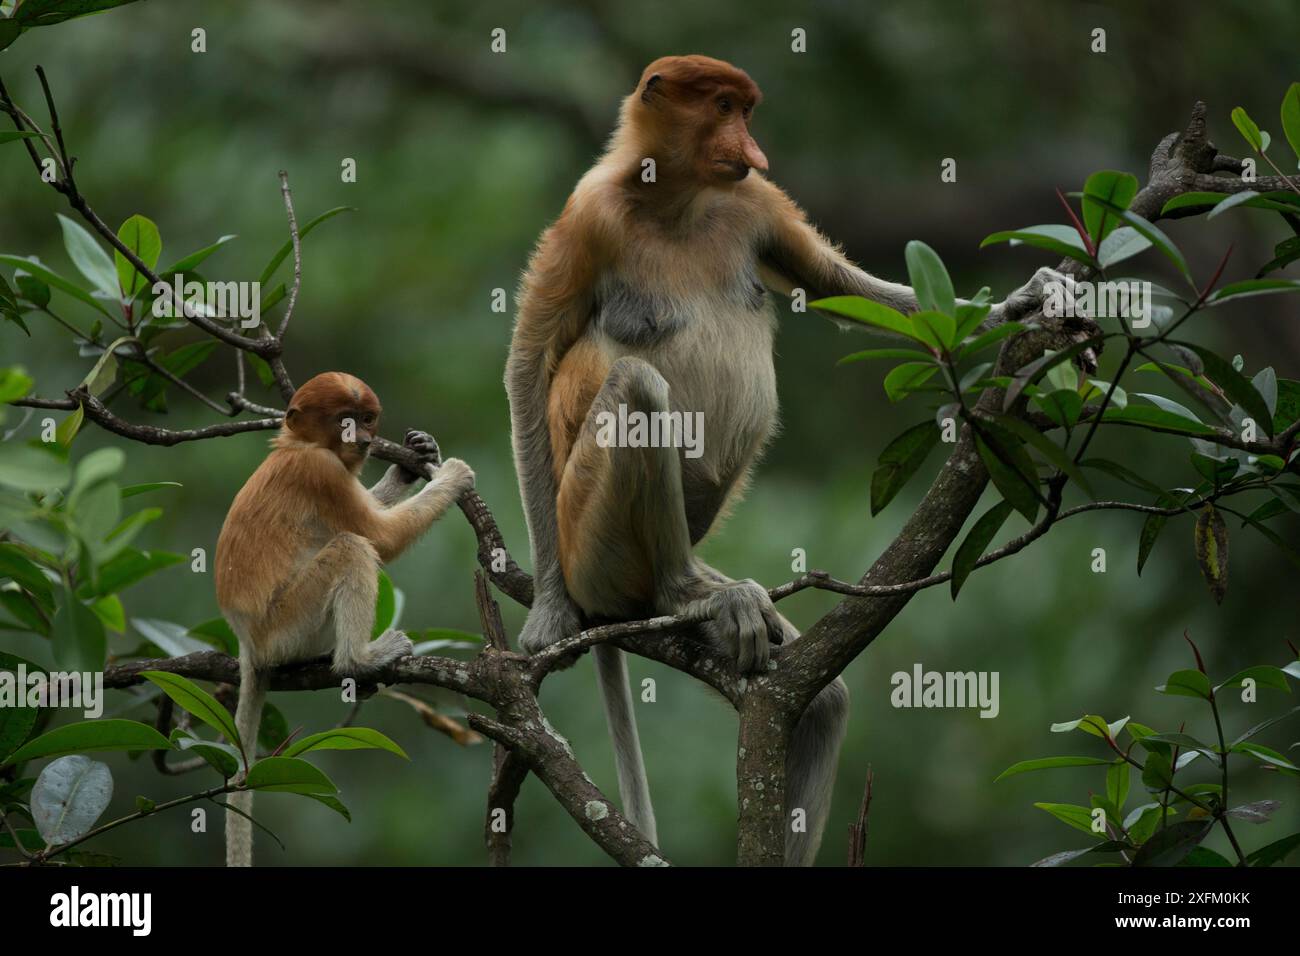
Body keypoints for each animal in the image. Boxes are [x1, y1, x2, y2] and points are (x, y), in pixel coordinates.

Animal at [214, 371, 475, 866]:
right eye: (344, 421)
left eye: (368, 419)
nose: (366, 440)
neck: (300, 445)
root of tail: (249, 643)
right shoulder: (323, 474)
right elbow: (379, 536)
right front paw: (453, 473)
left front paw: (413, 460)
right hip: (289, 626)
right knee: (352, 547)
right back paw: (359, 660)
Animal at [506, 55, 1061, 865]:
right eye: (722, 107)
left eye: (746, 111)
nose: (755, 151)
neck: (675, 199)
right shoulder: (588, 217)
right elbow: (527, 362)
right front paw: (547, 614)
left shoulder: (755, 204)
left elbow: (839, 285)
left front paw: (1028, 300)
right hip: (585, 529)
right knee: (636, 385)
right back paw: (688, 592)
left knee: (823, 698)